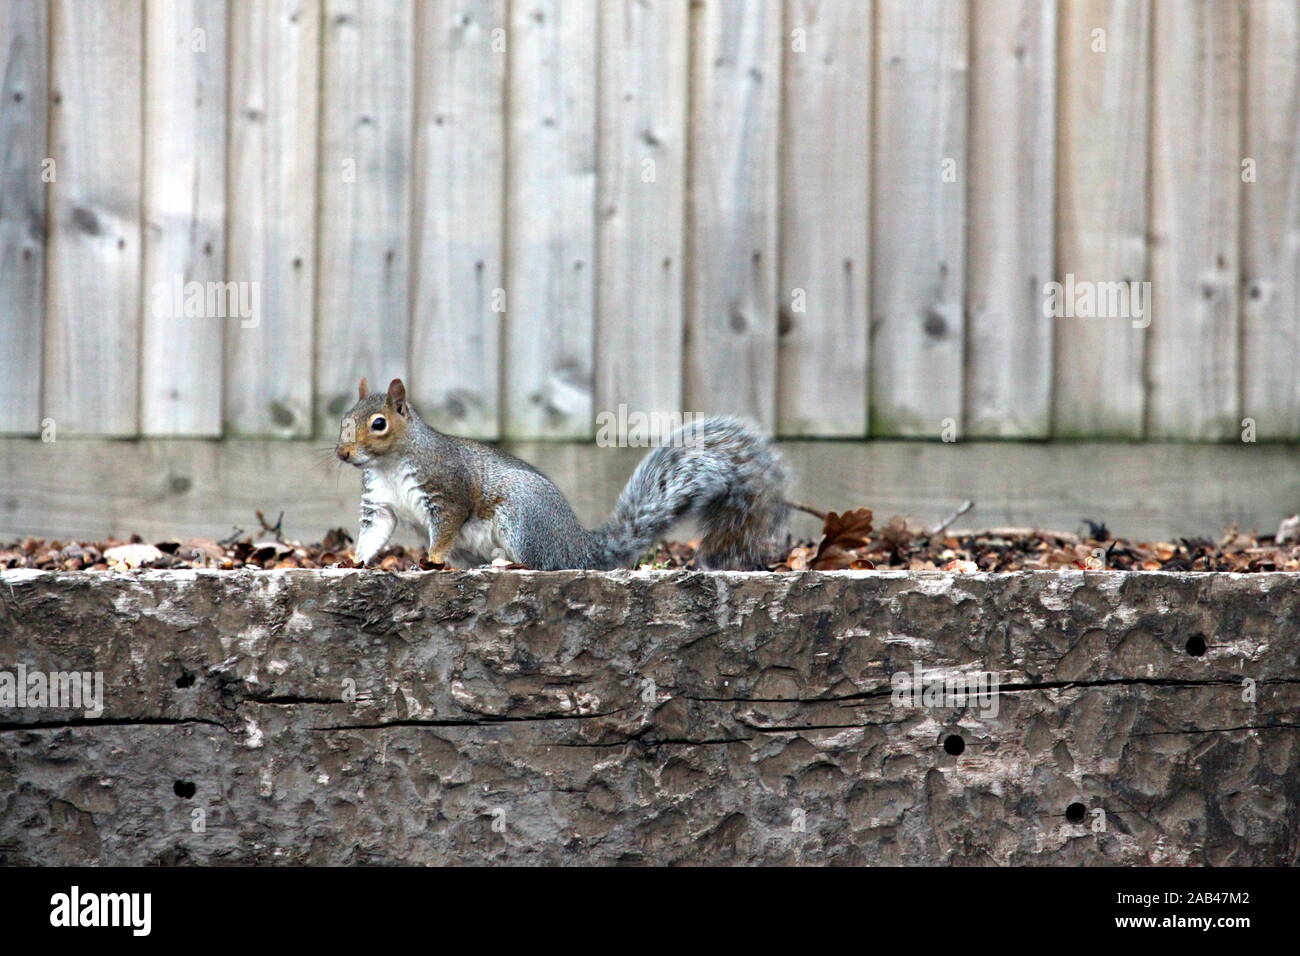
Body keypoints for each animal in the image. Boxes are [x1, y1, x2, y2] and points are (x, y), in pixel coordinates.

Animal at [334, 377, 789, 571]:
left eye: (378, 424)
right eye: (343, 419)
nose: (342, 453)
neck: (389, 465)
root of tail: (576, 549)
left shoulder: (446, 490)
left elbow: (446, 527)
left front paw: (430, 559)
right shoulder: (380, 505)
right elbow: (374, 534)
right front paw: (354, 561)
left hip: (521, 518)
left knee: (540, 564)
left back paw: (504, 566)